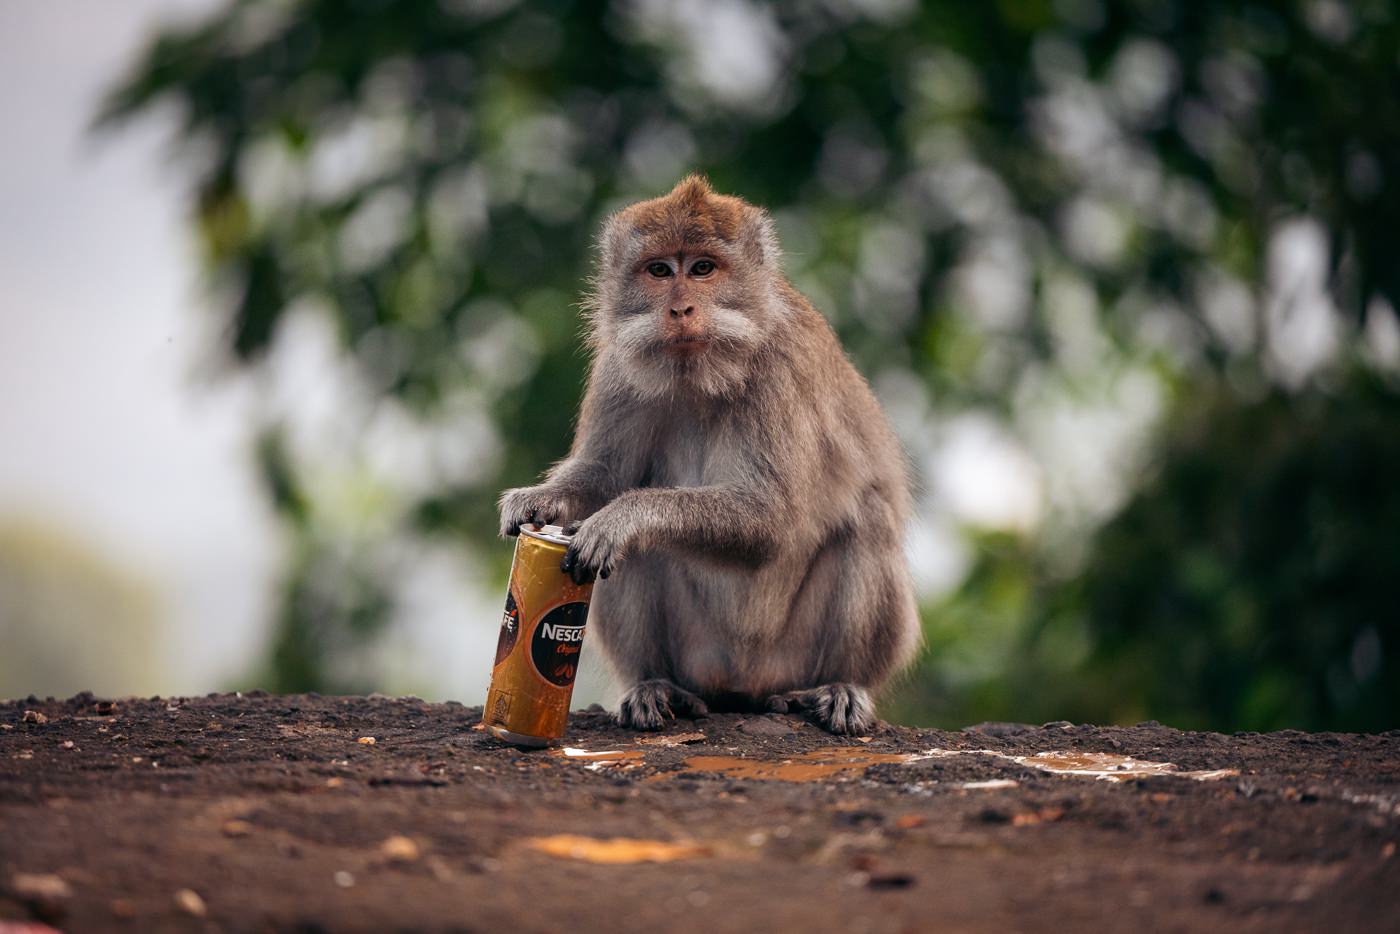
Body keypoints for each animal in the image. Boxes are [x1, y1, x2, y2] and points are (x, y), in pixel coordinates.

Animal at [498, 176, 920, 735]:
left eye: (702, 268)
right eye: (659, 270)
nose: (680, 309)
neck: (700, 371)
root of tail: (741, 687)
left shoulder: (782, 367)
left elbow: (772, 520)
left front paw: (624, 518)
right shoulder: (619, 367)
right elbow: (603, 477)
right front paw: (537, 501)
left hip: (787, 657)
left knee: (869, 517)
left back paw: (841, 686)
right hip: (698, 656)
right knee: (630, 556)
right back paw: (654, 685)